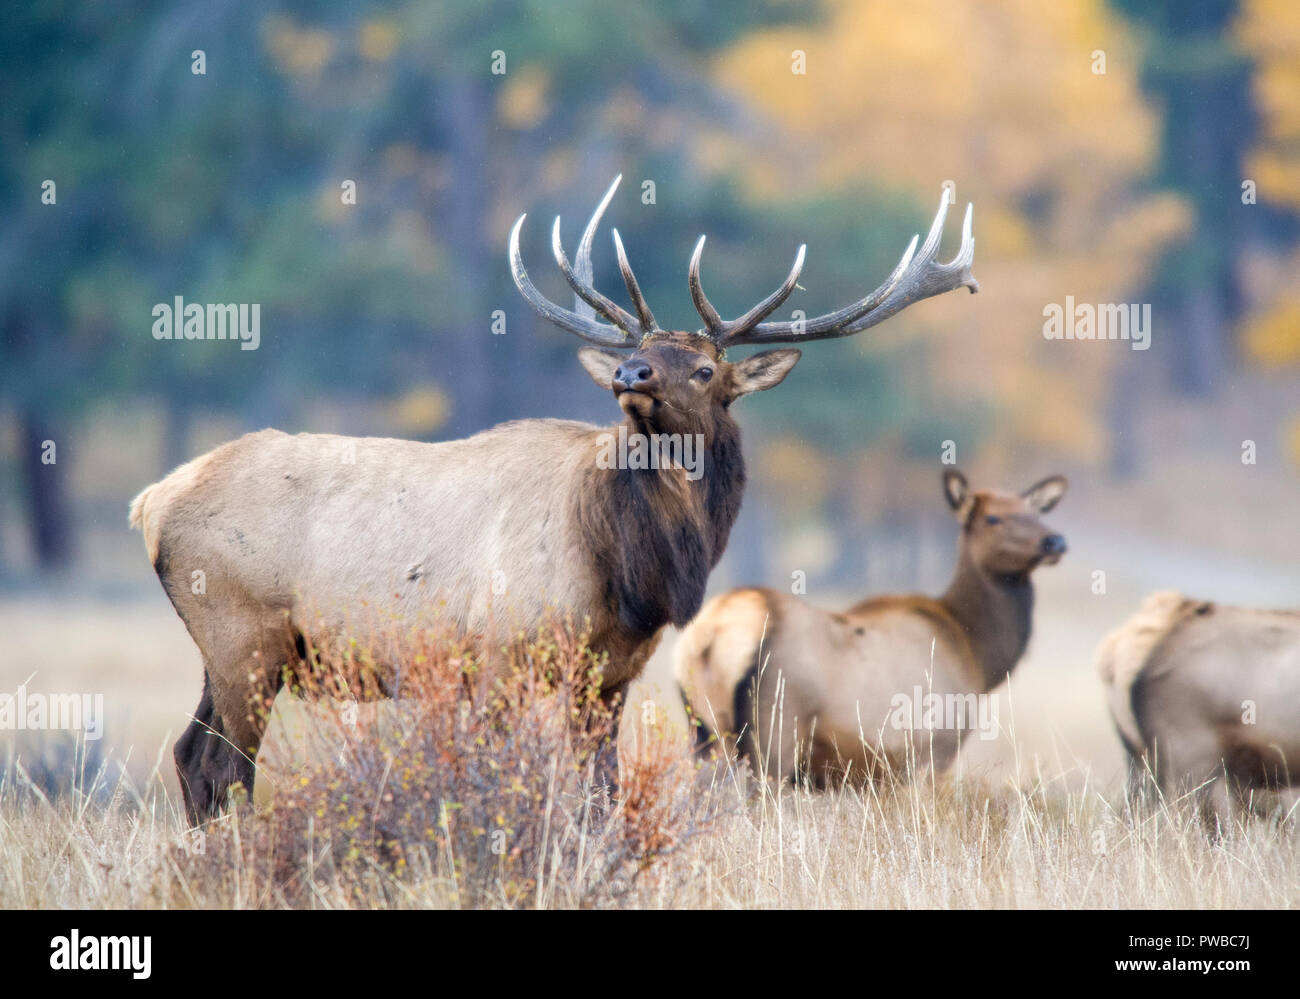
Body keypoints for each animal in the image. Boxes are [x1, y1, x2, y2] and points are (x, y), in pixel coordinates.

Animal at [130, 176, 978, 824]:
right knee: (223, 768)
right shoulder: (502, 653)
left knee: (191, 757)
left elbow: (599, 789)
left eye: (705, 369)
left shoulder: (608, 674)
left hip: (230, 650)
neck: (630, 567)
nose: (630, 372)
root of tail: (151, 503)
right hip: (244, 636)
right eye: (643, 350)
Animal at [674, 469, 1066, 786]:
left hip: (702, 732)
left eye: (1036, 513)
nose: (1055, 541)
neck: (977, 657)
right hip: (774, 729)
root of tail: (712, 634)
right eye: (993, 518)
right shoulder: (933, 753)